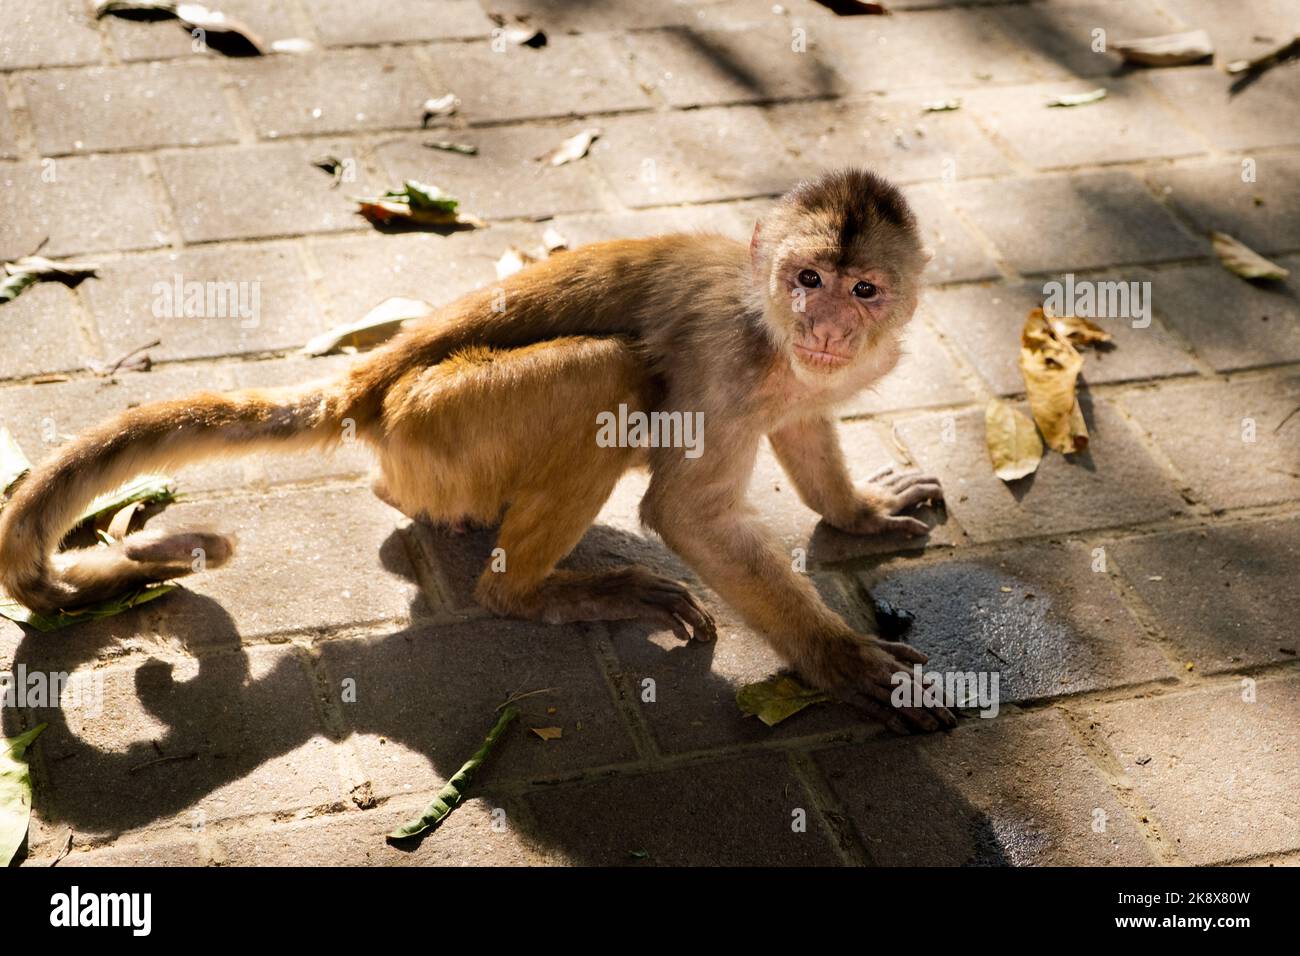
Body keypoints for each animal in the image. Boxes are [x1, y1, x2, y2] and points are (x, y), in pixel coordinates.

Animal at [0, 167, 954, 733]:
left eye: (864, 291)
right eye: (808, 279)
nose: (824, 325)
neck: (774, 339)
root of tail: (375, 379)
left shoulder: (804, 383)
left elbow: (803, 428)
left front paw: (859, 512)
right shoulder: (726, 358)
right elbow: (689, 513)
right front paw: (843, 662)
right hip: (437, 419)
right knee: (614, 378)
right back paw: (529, 592)